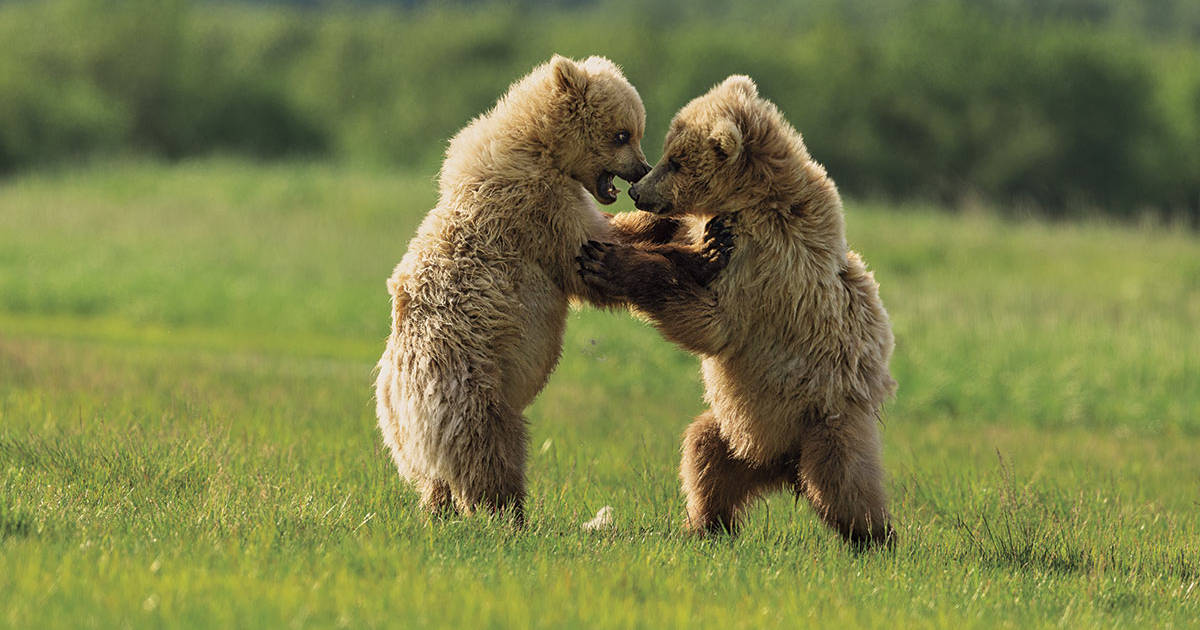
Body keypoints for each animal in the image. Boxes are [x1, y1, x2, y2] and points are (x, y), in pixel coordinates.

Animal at [373, 55, 661, 522]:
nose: (643, 169)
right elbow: (587, 253)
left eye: (637, 129)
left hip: (401, 433)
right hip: (468, 389)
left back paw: (438, 508)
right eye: (623, 133)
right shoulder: (537, 208)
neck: (538, 145)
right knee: (489, 453)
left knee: (434, 477)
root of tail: (400, 397)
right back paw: (507, 513)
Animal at [578, 75, 897, 547]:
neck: (747, 202)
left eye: (675, 161)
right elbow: (668, 234)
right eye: (668, 152)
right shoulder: (708, 226)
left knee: (844, 482)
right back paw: (704, 525)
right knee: (703, 456)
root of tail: (782, 470)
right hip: (735, 430)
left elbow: (712, 324)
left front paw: (613, 262)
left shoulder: (766, 265)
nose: (638, 191)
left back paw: (876, 536)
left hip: (825, 420)